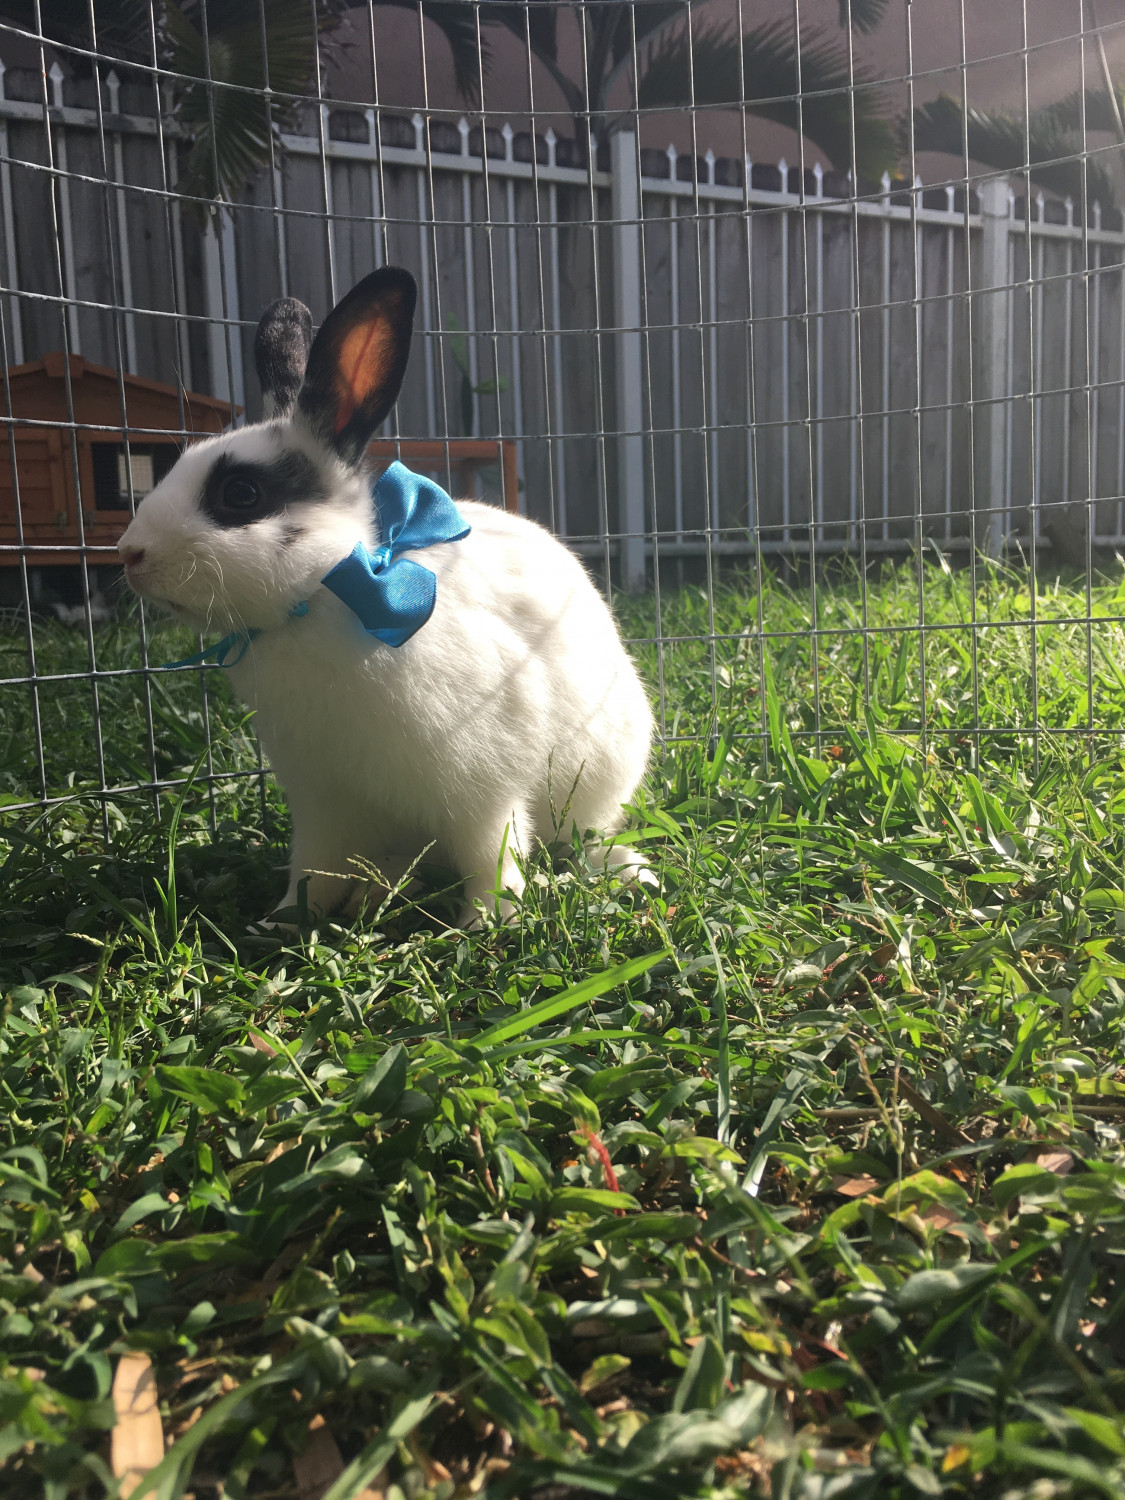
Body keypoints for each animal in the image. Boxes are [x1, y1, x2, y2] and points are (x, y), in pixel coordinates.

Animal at [118, 267, 654, 925]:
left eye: (240, 493)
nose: (130, 555)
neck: (331, 590)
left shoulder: (481, 789)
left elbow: (492, 854)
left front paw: (490, 922)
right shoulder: (322, 802)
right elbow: (314, 864)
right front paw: (286, 916)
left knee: (582, 837)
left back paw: (626, 872)